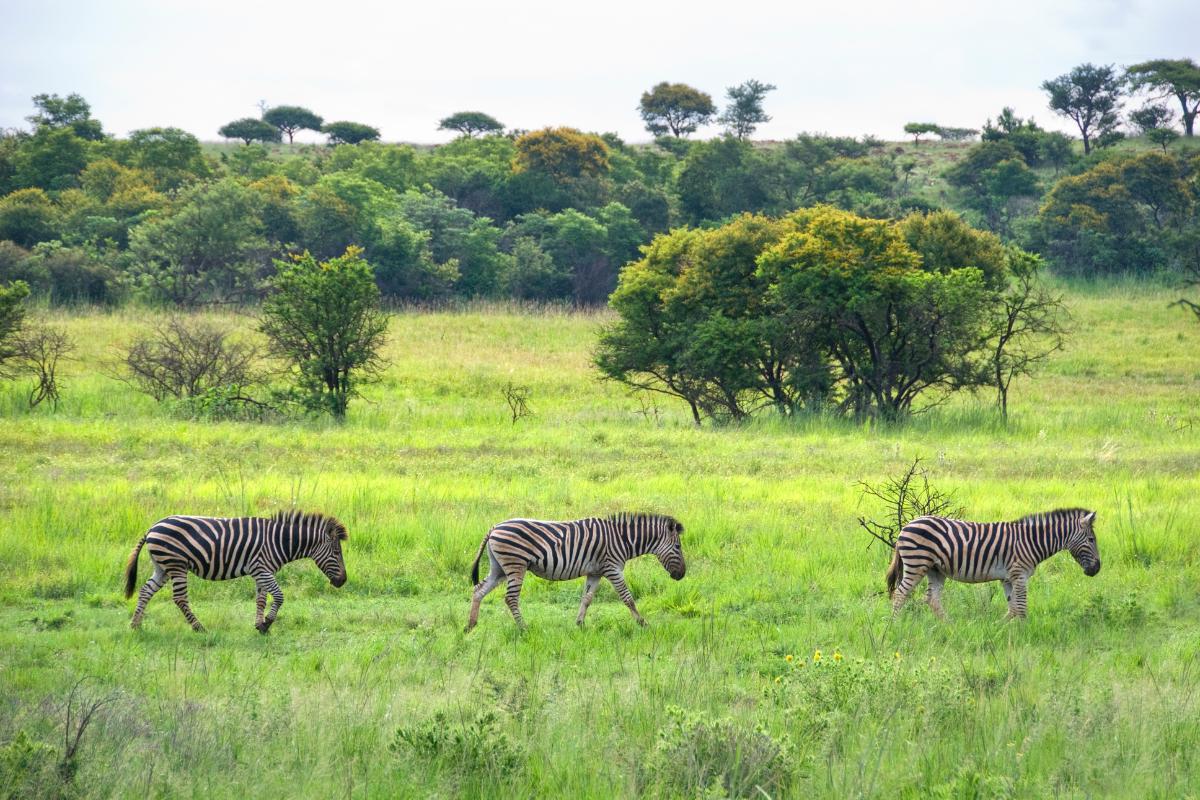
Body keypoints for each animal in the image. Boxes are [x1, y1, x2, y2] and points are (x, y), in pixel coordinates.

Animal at [123, 510, 348, 633]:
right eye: (337, 552)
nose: (343, 581)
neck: (279, 541)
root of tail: (152, 527)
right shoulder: (262, 568)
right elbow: (279, 596)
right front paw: (267, 623)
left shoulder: (260, 572)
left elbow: (261, 600)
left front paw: (259, 625)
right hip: (176, 564)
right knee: (180, 598)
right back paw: (199, 628)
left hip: (163, 566)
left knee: (145, 591)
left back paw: (135, 625)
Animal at [465, 513, 686, 631]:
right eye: (678, 547)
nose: (682, 575)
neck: (622, 539)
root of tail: (494, 527)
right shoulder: (613, 568)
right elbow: (628, 598)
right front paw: (643, 623)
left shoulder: (596, 572)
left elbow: (586, 599)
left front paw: (579, 624)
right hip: (515, 565)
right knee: (510, 598)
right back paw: (524, 628)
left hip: (499, 568)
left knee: (478, 590)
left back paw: (471, 625)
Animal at [886, 508, 1100, 620]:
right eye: (1091, 540)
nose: (1097, 569)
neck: (1031, 541)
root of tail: (907, 525)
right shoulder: (1019, 574)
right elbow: (1021, 608)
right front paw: (1024, 633)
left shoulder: (1007, 578)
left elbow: (1013, 608)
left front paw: (1001, 627)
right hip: (917, 563)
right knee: (900, 594)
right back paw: (895, 624)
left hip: (935, 570)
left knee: (932, 600)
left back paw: (949, 626)